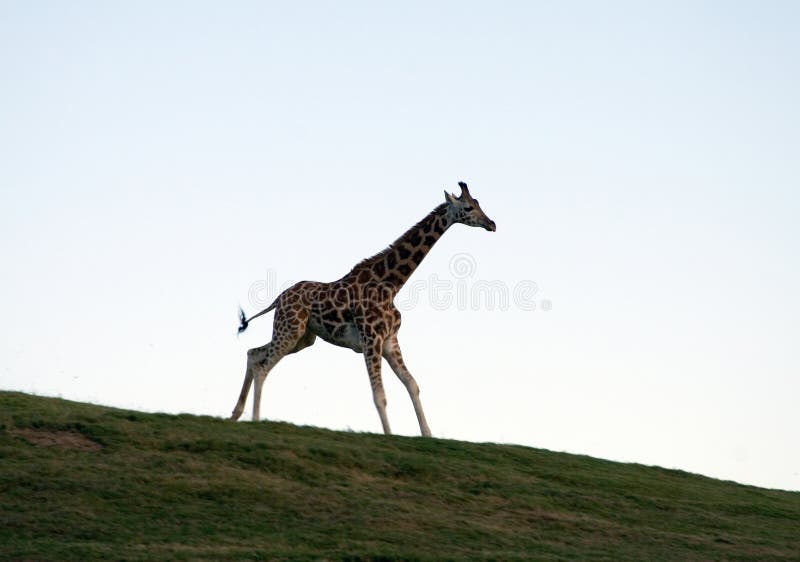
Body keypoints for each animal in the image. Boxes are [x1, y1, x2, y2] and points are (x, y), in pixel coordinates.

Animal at [230, 182, 496, 436]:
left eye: (478, 202)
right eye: (468, 208)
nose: (491, 223)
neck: (391, 284)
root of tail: (279, 298)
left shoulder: (389, 341)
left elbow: (412, 385)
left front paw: (428, 435)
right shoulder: (371, 339)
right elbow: (379, 395)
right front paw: (388, 435)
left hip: (302, 338)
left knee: (253, 354)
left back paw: (235, 414)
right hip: (291, 329)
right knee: (263, 367)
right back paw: (255, 419)